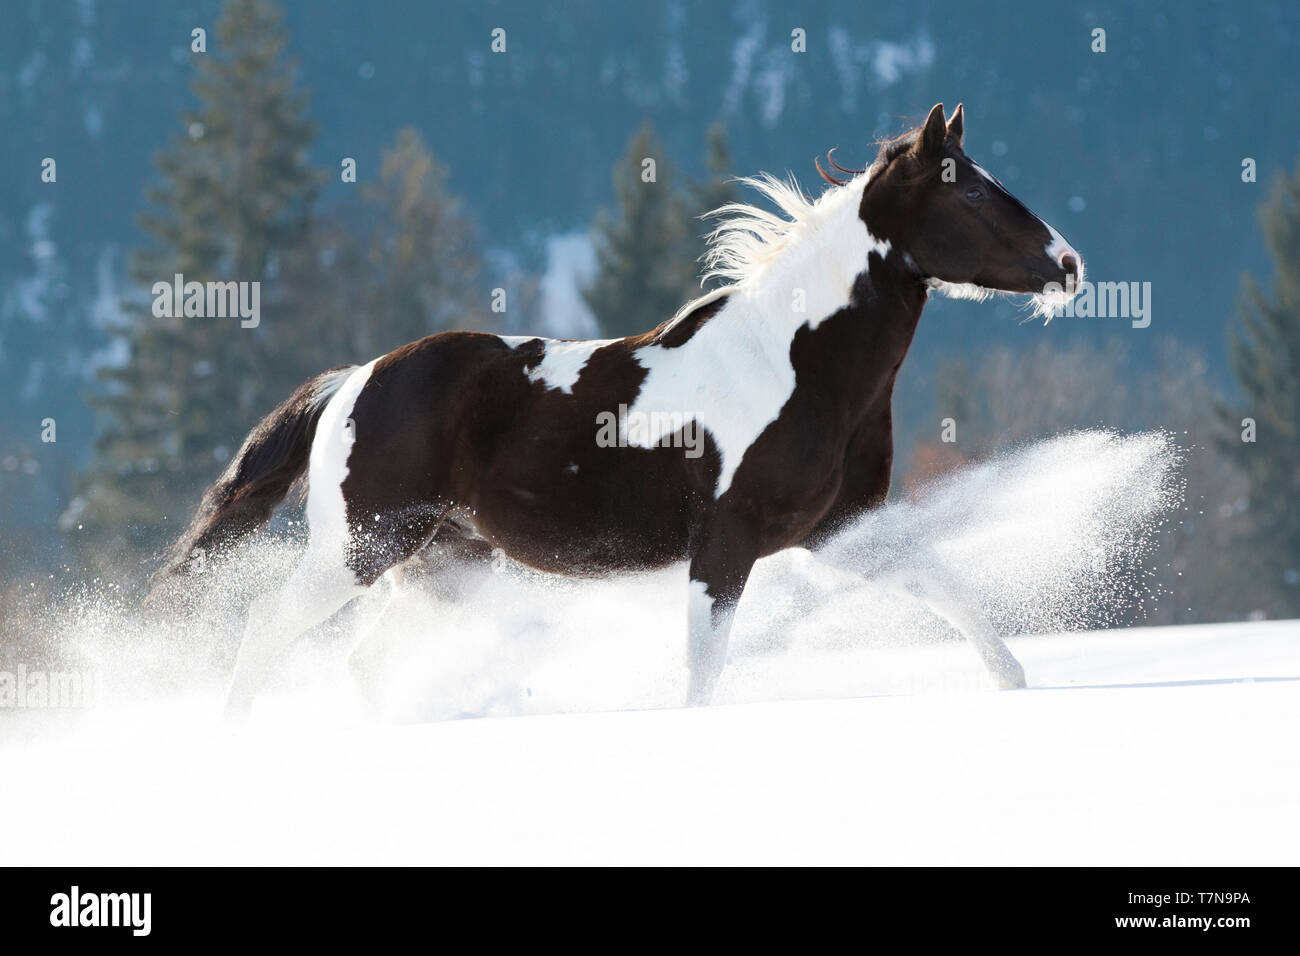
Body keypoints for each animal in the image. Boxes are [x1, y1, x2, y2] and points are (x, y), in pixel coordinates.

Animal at [165, 103, 1083, 719]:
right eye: (970, 197)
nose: (1070, 266)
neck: (795, 363)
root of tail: (354, 381)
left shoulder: (839, 527)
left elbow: (945, 585)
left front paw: (1013, 682)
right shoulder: (726, 542)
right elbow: (702, 672)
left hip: (442, 562)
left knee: (365, 661)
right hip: (361, 547)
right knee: (267, 629)